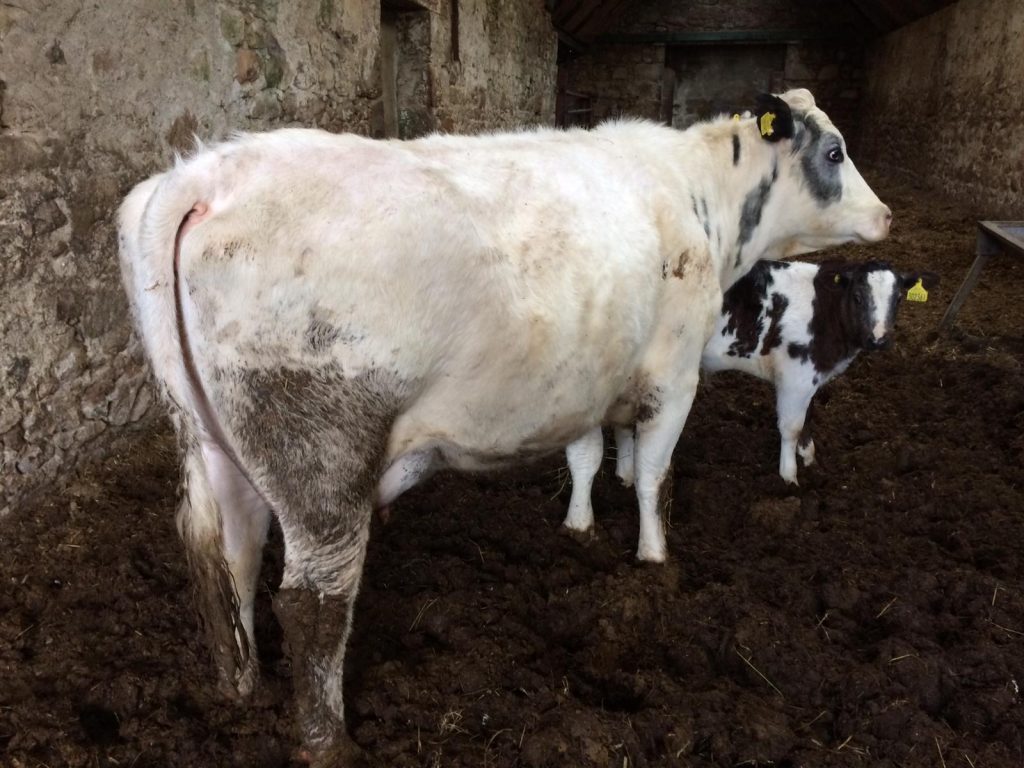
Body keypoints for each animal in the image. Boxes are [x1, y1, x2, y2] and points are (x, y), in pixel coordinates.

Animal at [117, 89, 889, 764]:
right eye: (835, 150)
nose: (884, 215)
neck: (698, 198)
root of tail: (207, 172)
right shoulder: (674, 377)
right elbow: (655, 478)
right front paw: (654, 560)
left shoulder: (582, 381)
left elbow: (592, 459)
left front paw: (582, 524)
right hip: (321, 459)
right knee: (313, 603)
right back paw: (327, 742)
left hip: (212, 441)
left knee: (235, 556)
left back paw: (241, 686)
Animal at [563, 260, 938, 533]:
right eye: (859, 297)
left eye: (898, 299)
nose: (879, 339)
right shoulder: (796, 376)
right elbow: (790, 427)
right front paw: (788, 477)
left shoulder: (809, 380)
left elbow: (807, 421)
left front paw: (809, 457)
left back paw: (624, 475)